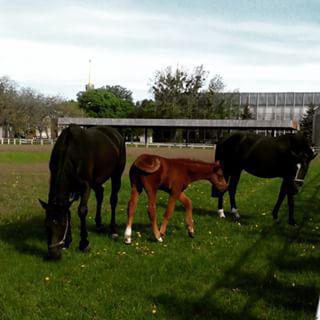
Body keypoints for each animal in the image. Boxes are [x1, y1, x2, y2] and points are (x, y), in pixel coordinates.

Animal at [39, 124, 125, 258]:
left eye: (62, 224)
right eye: (46, 225)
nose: (54, 254)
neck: (71, 151)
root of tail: (116, 134)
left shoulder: (86, 186)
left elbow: (82, 211)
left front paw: (84, 243)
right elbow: (68, 211)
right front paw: (68, 241)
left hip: (116, 174)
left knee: (113, 199)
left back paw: (113, 230)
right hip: (96, 181)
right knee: (100, 194)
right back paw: (99, 224)